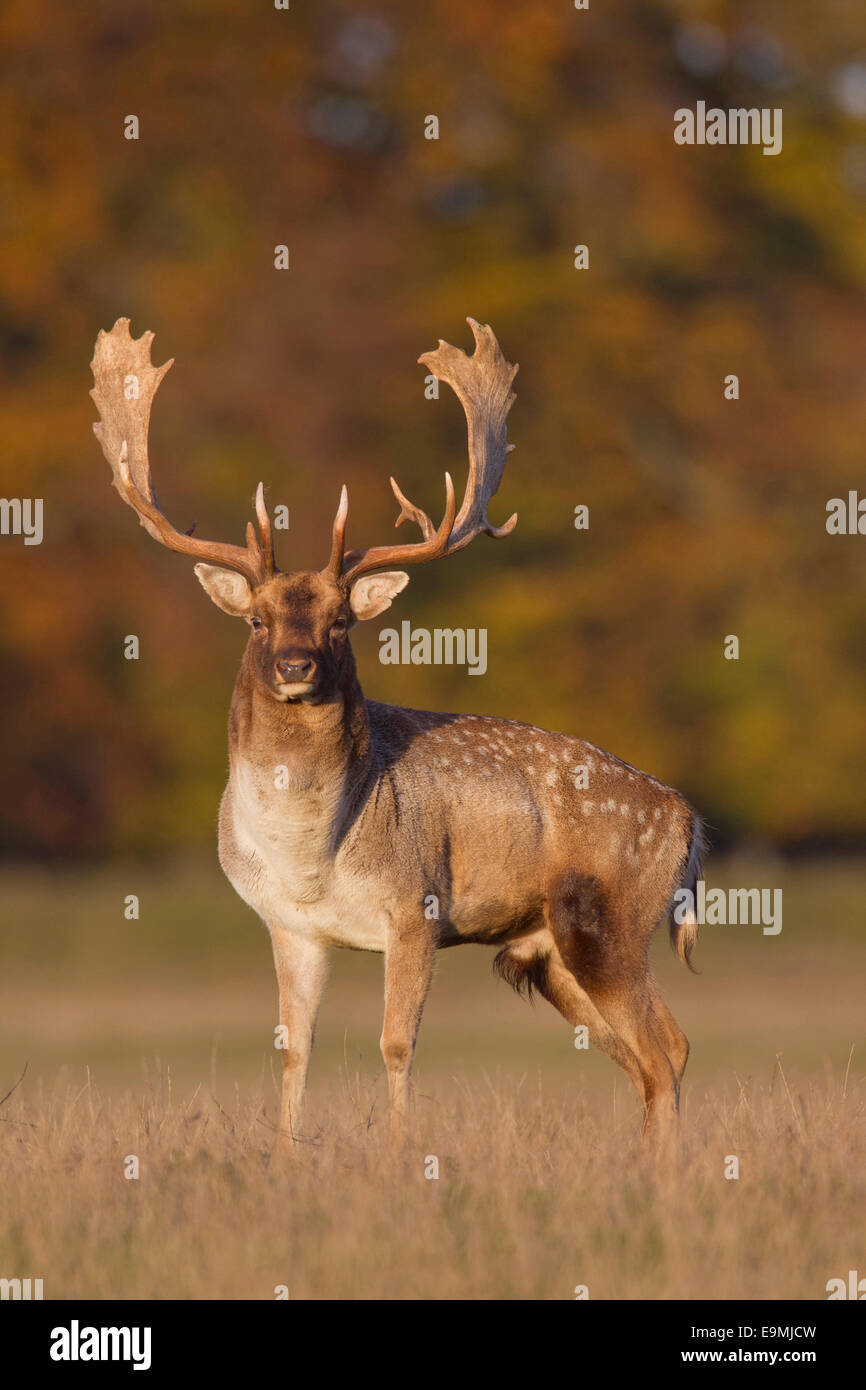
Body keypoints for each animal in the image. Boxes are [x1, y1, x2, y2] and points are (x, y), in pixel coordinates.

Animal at [90, 316, 704, 1154]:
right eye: (256, 620)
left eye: (340, 621)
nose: (294, 665)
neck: (313, 857)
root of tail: (687, 819)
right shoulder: (290, 926)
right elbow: (296, 1047)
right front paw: (287, 1156)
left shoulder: (416, 905)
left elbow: (395, 1042)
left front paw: (400, 1154)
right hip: (546, 956)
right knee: (650, 1059)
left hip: (609, 920)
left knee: (668, 1047)